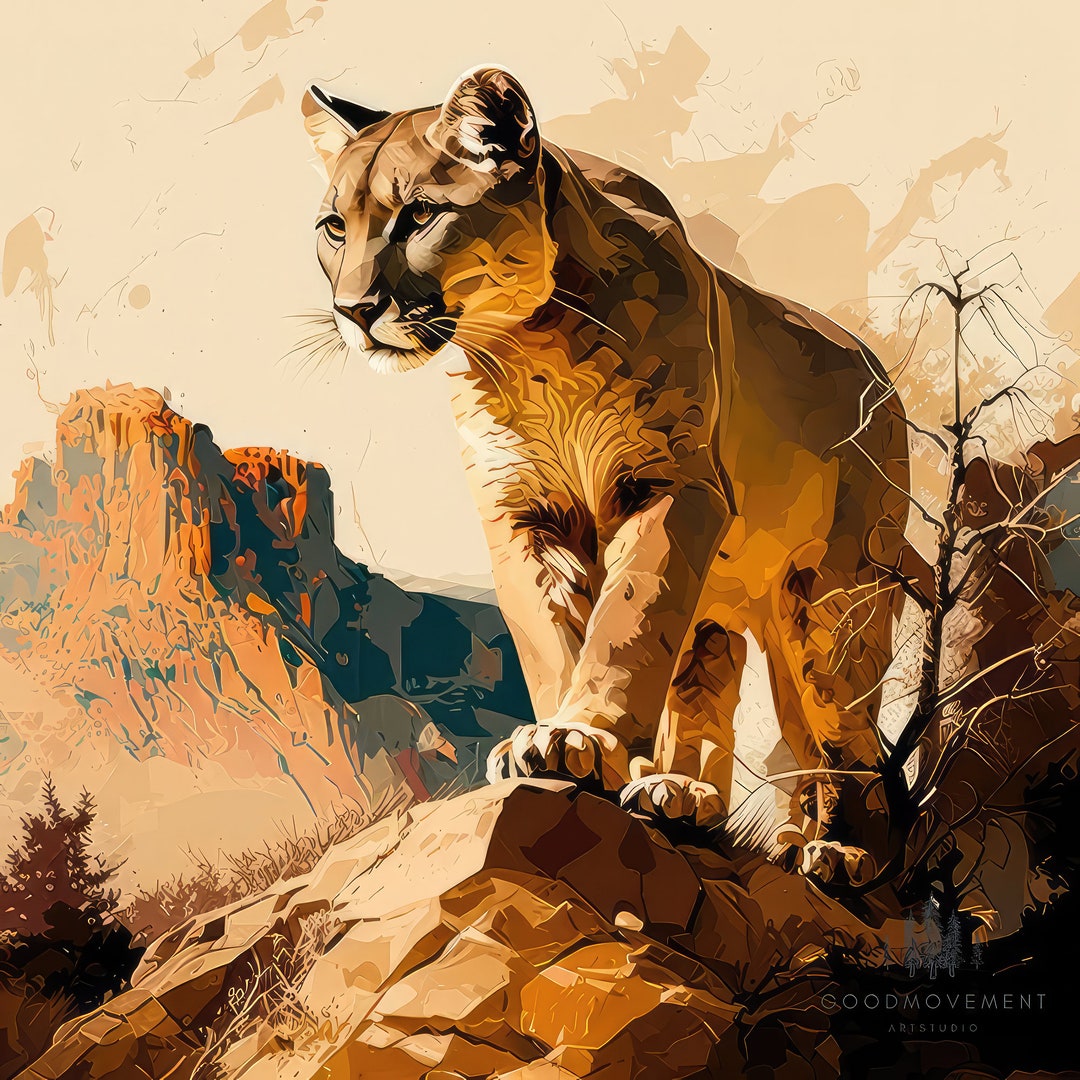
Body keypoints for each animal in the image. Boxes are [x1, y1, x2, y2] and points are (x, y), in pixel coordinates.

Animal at [301, 67, 911, 877]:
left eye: (421, 215)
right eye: (334, 227)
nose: (356, 308)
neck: (529, 348)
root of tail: (881, 375)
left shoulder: (670, 486)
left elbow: (628, 619)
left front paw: (581, 736)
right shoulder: (519, 512)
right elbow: (551, 634)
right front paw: (563, 742)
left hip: (830, 608)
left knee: (844, 736)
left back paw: (837, 850)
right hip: (724, 611)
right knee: (704, 690)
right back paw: (681, 794)